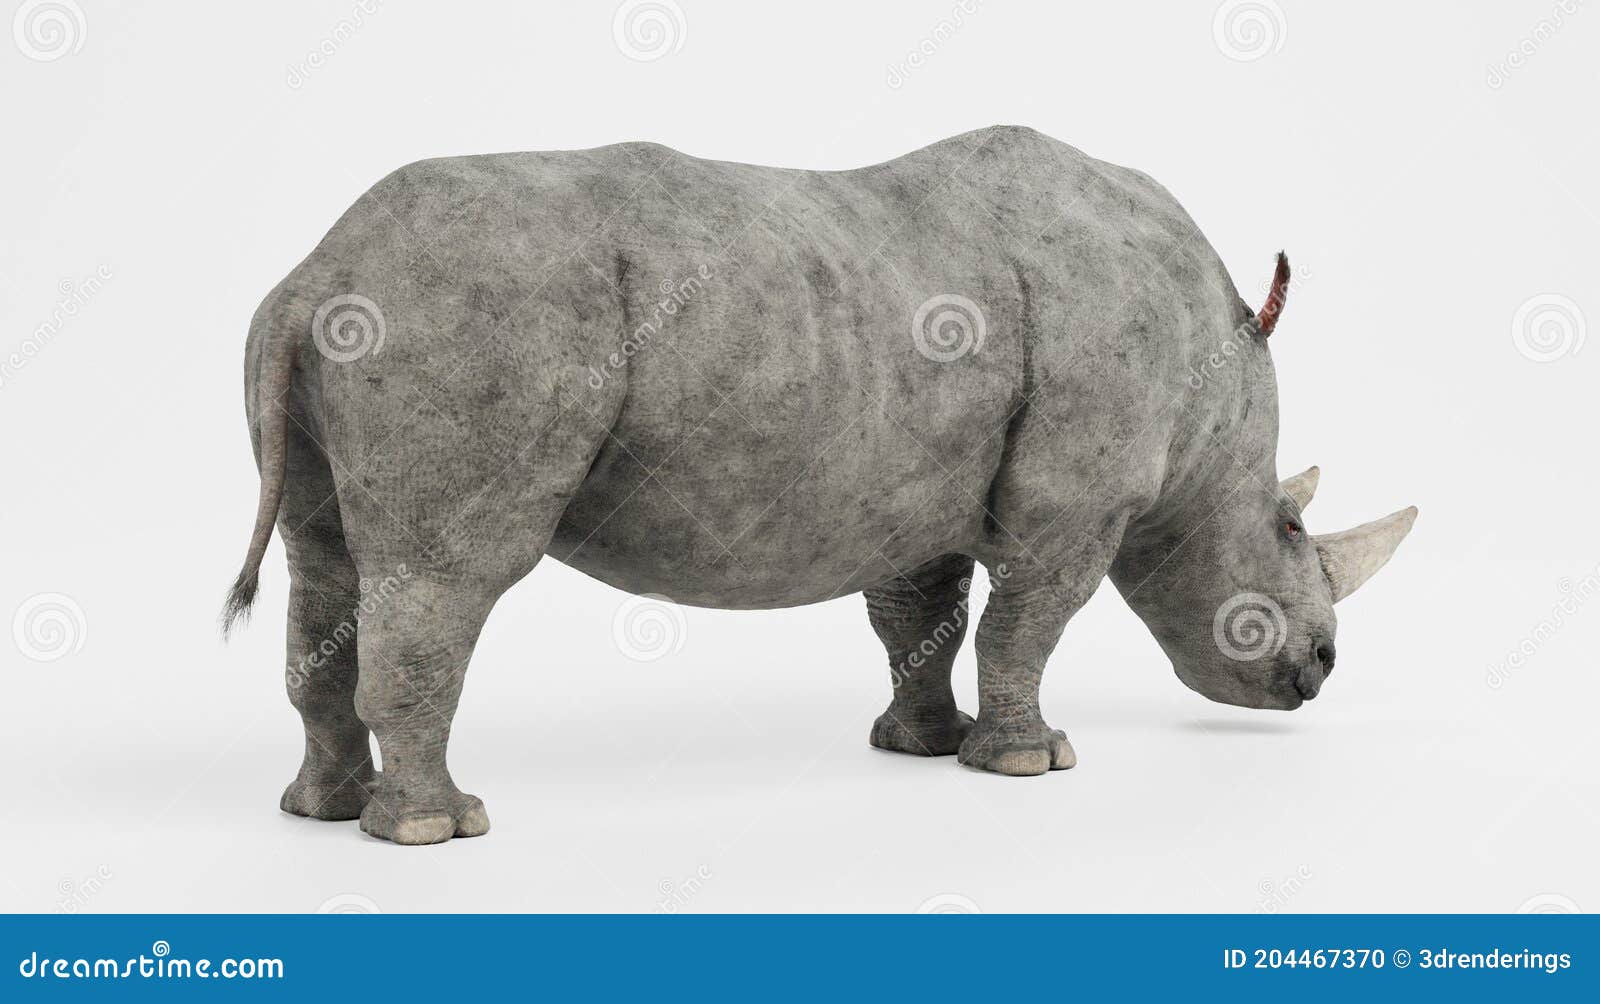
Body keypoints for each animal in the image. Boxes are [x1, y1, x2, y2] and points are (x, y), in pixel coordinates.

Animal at [224, 125, 1417, 844]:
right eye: (1289, 525)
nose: (1320, 671)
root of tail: (318, 274)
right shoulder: (1077, 506)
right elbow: (1027, 621)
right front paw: (1031, 765)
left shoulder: (918, 492)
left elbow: (921, 617)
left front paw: (923, 747)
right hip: (473, 319)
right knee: (448, 575)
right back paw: (441, 828)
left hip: (357, 326)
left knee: (325, 568)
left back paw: (322, 813)